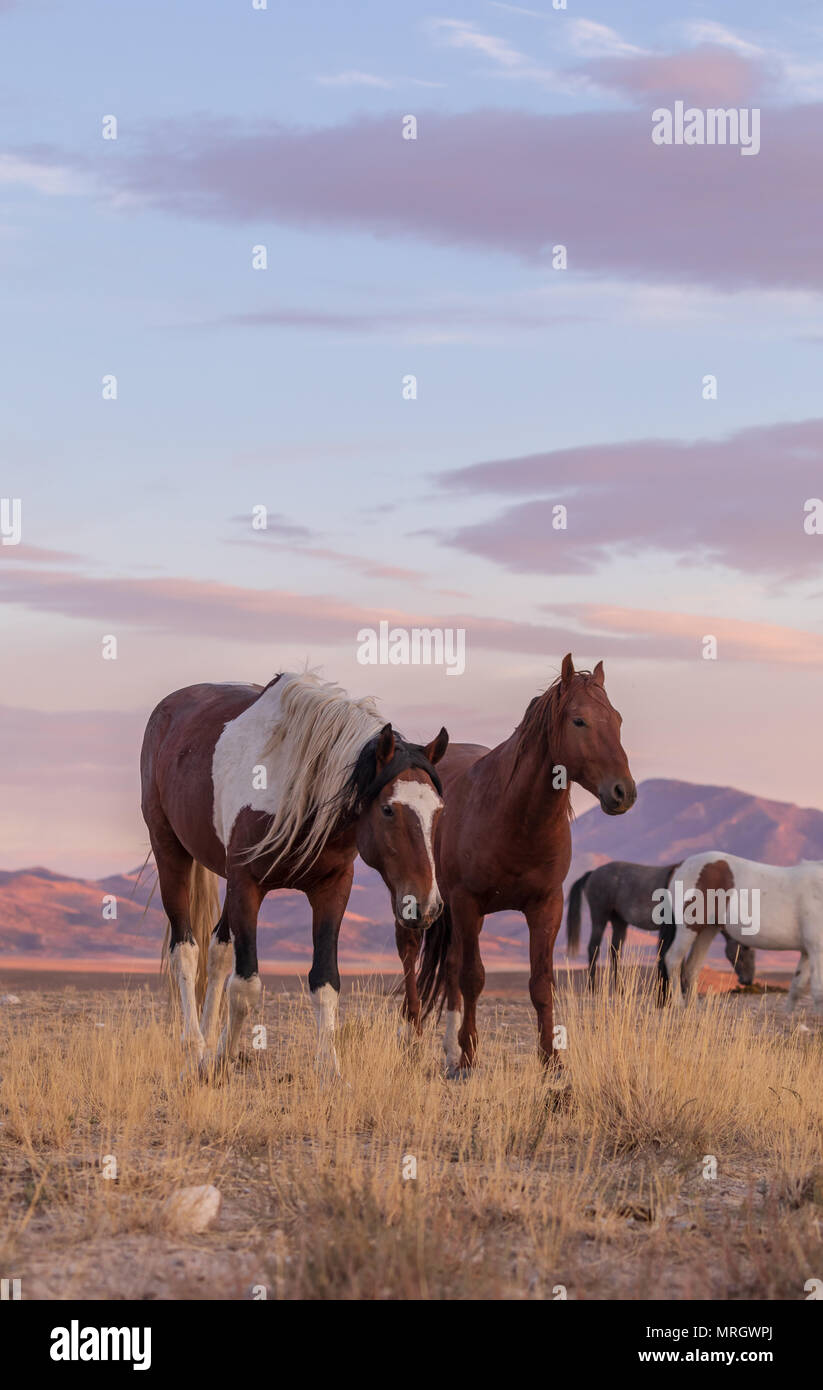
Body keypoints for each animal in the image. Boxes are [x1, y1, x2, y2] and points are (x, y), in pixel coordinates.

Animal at [140, 671, 448, 1076]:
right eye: (387, 810)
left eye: (439, 810)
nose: (426, 906)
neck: (298, 789)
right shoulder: (247, 884)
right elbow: (246, 986)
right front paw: (222, 1062)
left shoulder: (332, 888)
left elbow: (325, 982)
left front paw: (330, 1071)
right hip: (170, 852)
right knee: (186, 950)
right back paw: (194, 1049)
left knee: (218, 951)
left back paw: (206, 1046)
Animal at [410, 654, 636, 1077]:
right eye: (579, 721)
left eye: (617, 719)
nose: (624, 792)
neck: (514, 818)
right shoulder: (468, 902)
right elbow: (473, 978)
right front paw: (470, 1057)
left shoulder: (546, 906)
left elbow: (540, 984)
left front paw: (552, 1063)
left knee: (450, 967)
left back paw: (449, 1051)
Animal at [566, 860, 756, 998]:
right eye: (745, 948)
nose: (747, 980)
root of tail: (592, 873)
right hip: (600, 916)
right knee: (594, 948)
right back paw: (593, 988)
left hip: (619, 921)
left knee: (615, 951)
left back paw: (620, 989)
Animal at [663, 852, 823, 1014]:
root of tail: (681, 865)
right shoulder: (816, 949)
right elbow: (817, 988)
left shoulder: (807, 951)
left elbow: (797, 986)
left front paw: (788, 1014)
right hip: (688, 929)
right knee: (673, 960)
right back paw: (678, 1003)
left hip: (707, 931)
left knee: (692, 967)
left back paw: (693, 1007)